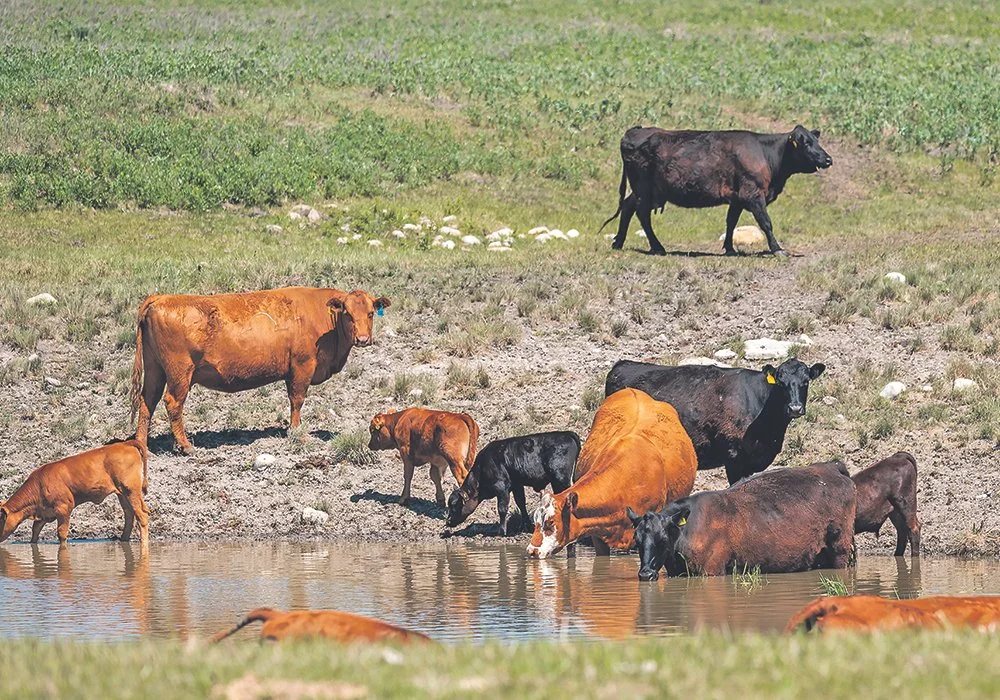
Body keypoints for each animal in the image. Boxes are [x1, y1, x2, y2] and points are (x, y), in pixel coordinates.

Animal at [0, 441, 149, 546]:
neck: (40, 483)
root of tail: (125, 443)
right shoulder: (44, 513)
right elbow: (35, 532)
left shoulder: (64, 507)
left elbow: (61, 533)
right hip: (122, 494)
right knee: (129, 514)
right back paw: (123, 539)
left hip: (131, 490)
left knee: (141, 514)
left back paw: (143, 543)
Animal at [130, 287, 390, 454]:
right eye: (347, 314)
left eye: (370, 313)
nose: (363, 339)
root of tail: (161, 298)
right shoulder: (302, 366)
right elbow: (297, 399)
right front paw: (296, 430)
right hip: (180, 372)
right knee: (173, 403)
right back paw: (185, 446)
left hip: (155, 369)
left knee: (147, 401)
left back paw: (142, 445)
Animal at [446, 431, 580, 535]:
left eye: (454, 505)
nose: (448, 521)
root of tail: (566, 433)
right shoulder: (517, 486)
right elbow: (521, 503)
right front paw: (527, 526)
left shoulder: (501, 487)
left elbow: (502, 508)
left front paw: (501, 531)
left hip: (560, 478)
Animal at [600, 125, 833, 255]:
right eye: (805, 142)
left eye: (816, 140)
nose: (828, 159)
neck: (766, 153)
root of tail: (635, 130)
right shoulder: (753, 194)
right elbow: (766, 223)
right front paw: (778, 249)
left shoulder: (738, 198)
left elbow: (731, 222)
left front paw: (729, 249)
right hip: (645, 189)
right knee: (641, 214)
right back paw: (657, 247)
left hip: (646, 190)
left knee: (628, 207)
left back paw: (619, 242)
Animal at [628, 461, 856, 580]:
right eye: (637, 541)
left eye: (663, 540)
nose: (645, 574)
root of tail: (831, 466)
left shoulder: (712, 571)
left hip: (839, 546)